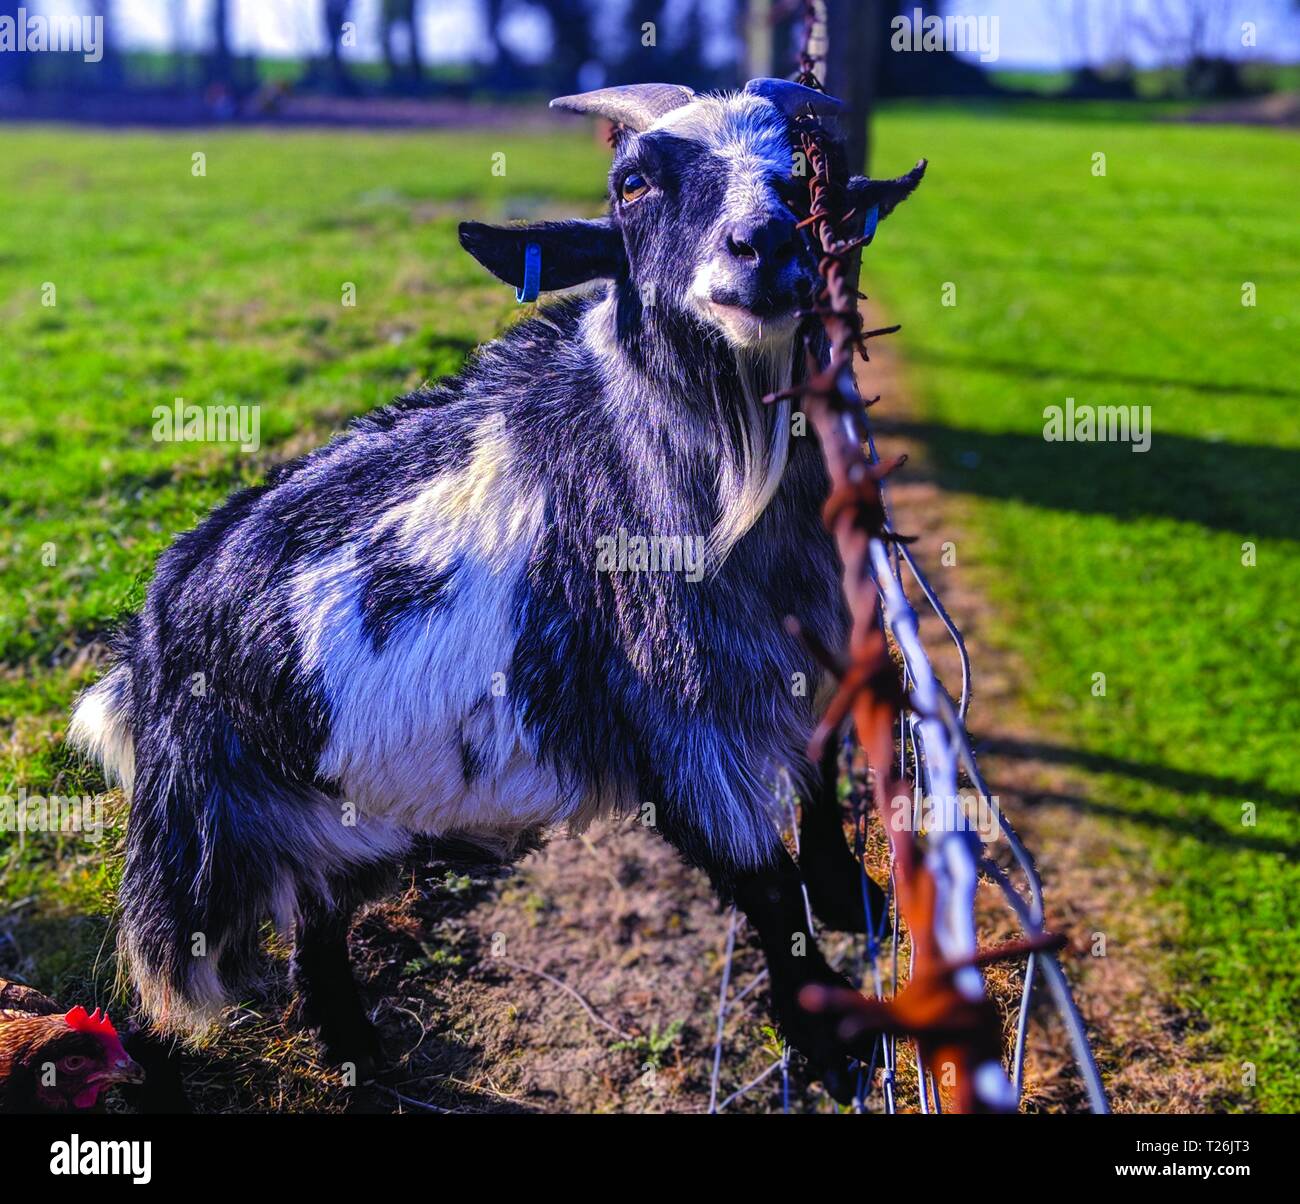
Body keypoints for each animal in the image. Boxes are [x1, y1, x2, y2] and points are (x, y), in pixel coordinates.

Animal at [69, 78, 925, 1102]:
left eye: (809, 172)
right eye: (632, 185)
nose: (766, 244)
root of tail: (152, 635)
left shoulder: (803, 649)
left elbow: (822, 777)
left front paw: (852, 896)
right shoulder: (673, 722)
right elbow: (761, 884)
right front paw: (828, 1038)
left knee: (318, 919)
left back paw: (358, 1052)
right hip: (234, 831)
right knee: (294, 926)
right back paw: (345, 1056)